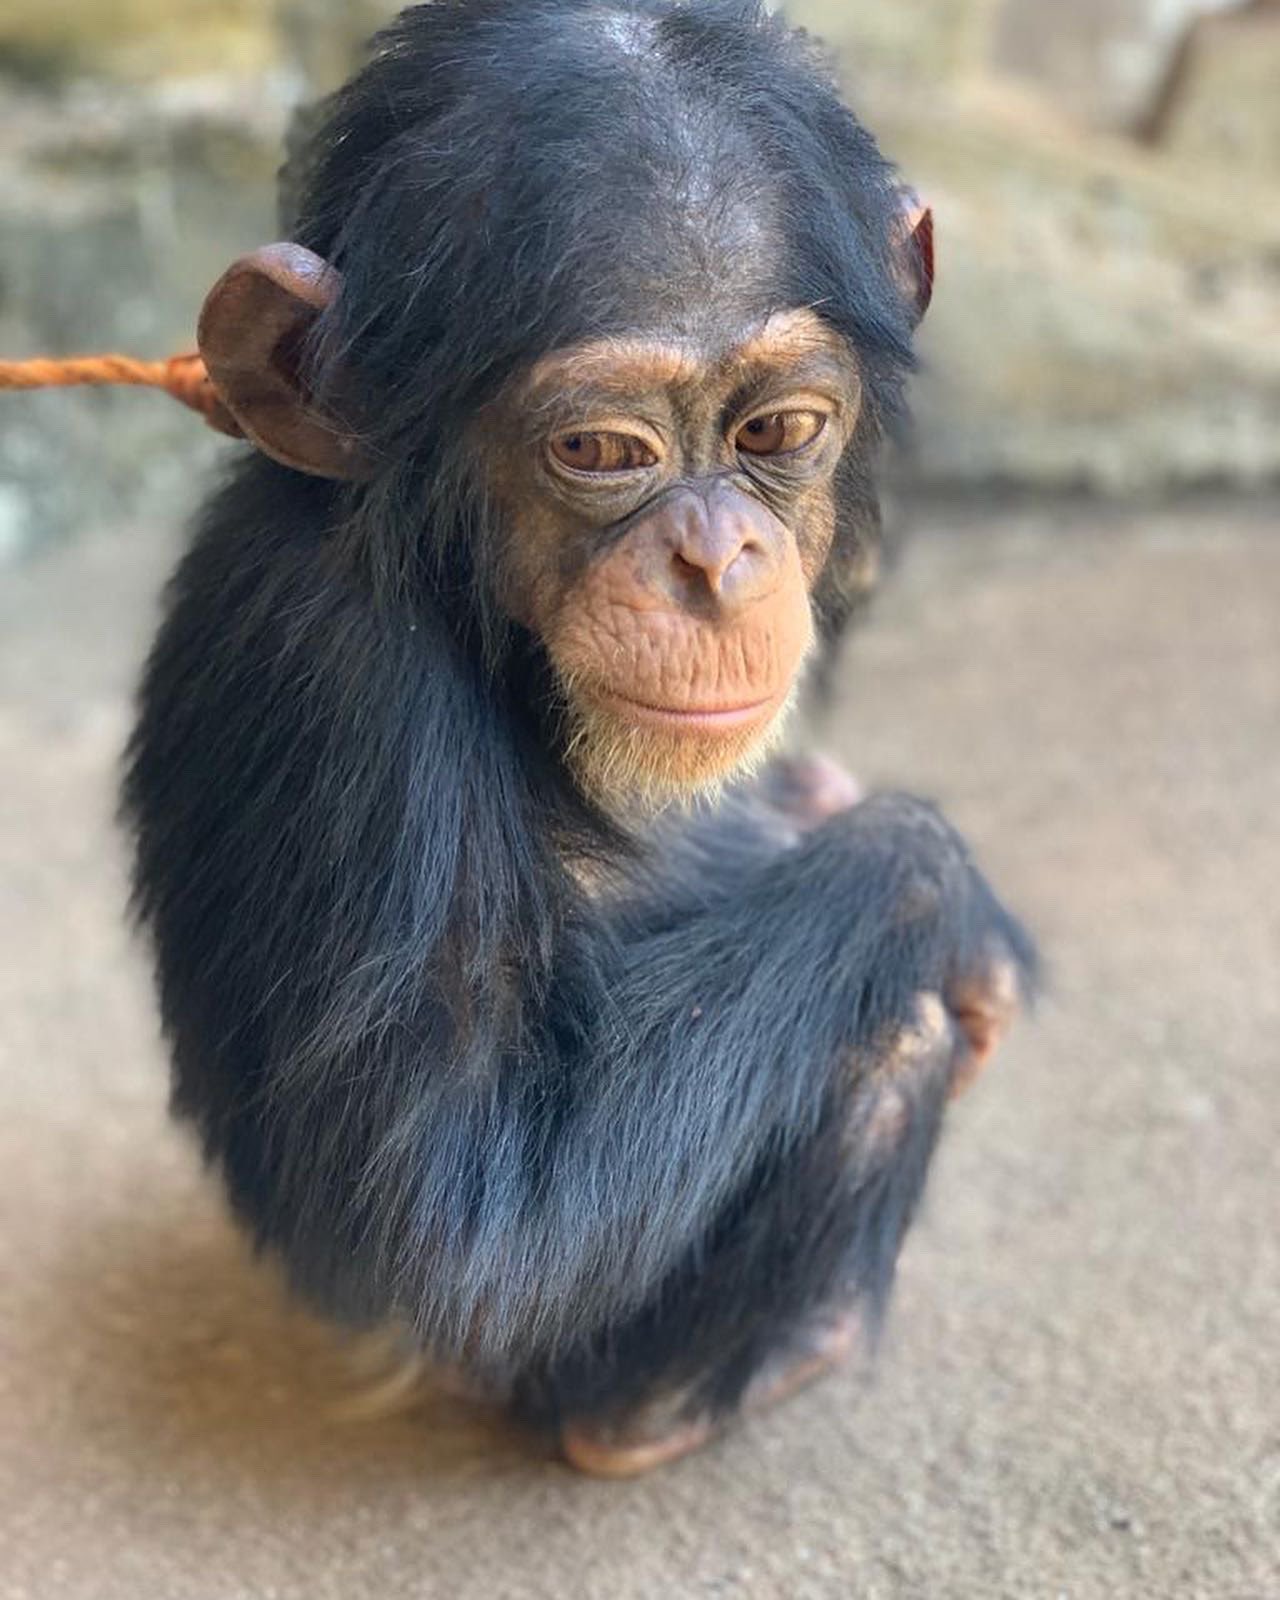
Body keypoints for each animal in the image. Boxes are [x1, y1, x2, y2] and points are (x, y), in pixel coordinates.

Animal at [124, 0, 1032, 1477]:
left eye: (778, 428)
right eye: (603, 451)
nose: (714, 556)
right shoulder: (347, 684)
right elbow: (478, 1222)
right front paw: (934, 876)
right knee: (889, 1037)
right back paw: (694, 1395)